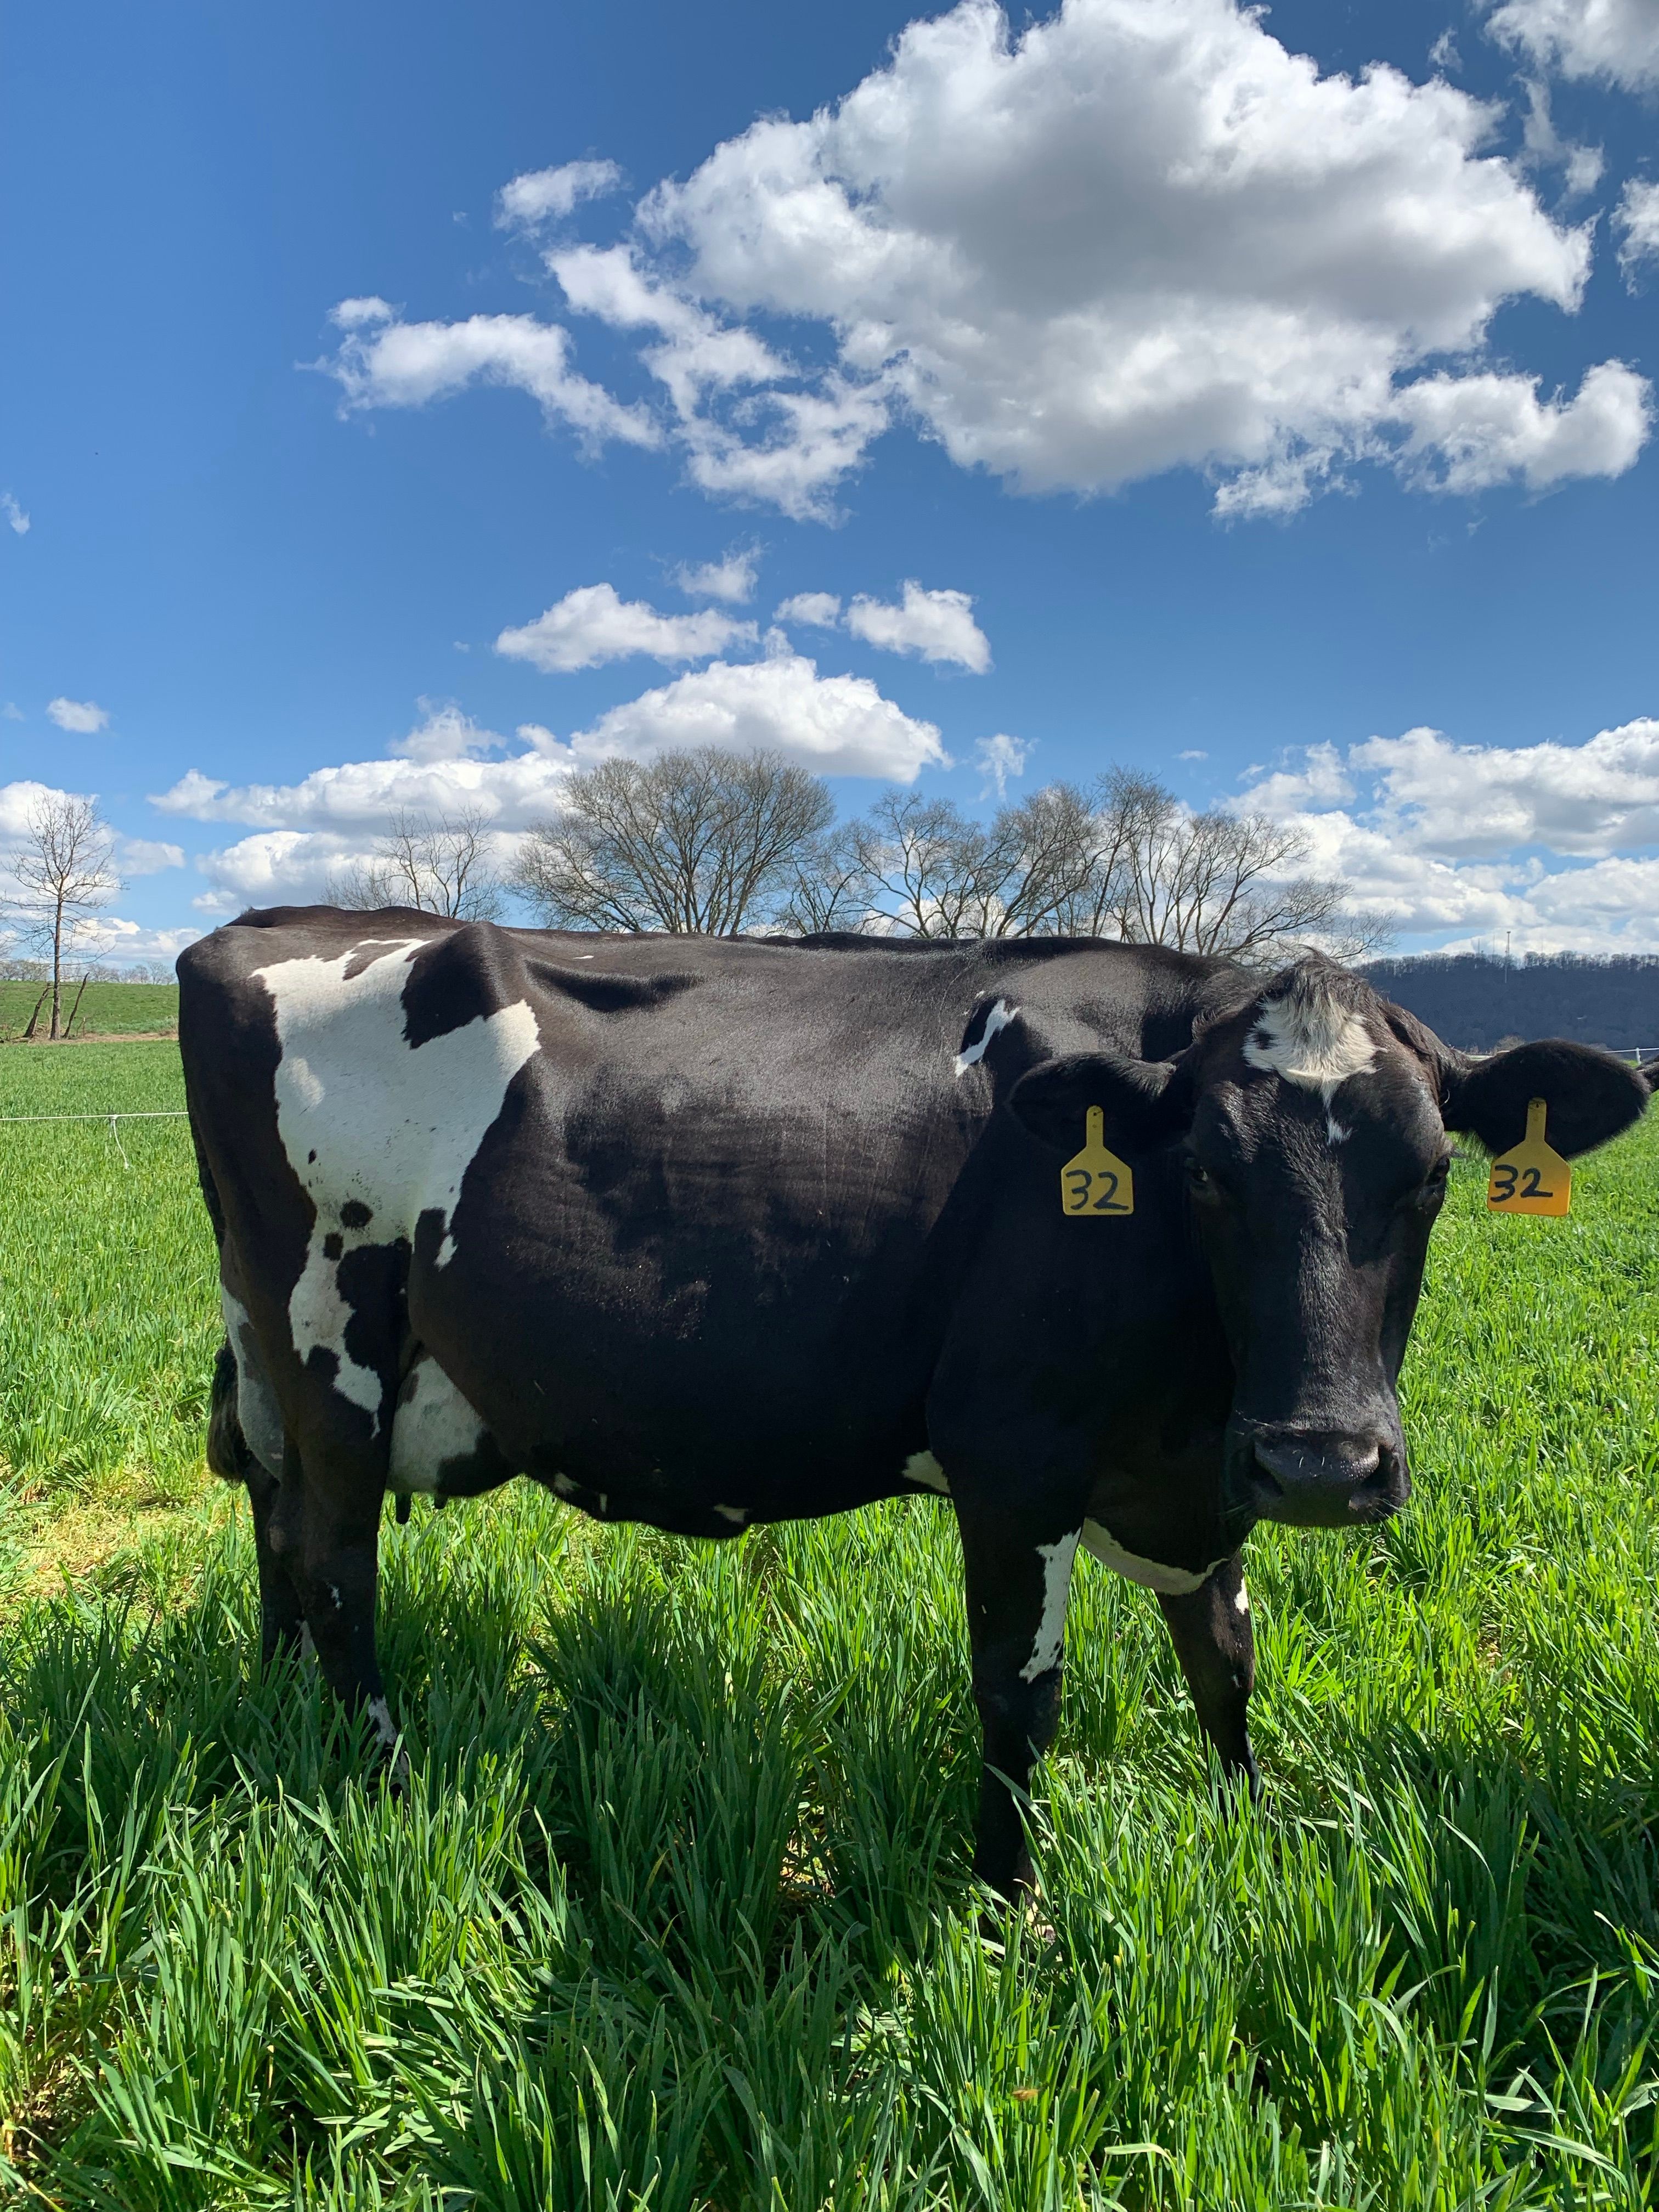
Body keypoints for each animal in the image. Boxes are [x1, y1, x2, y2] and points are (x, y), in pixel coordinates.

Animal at [179, 910, 1647, 1901]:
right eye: (1210, 1173)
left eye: (1431, 1175)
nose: (1325, 1466)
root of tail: (270, 926)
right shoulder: (1016, 1460)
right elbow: (1020, 1699)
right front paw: (1006, 1910)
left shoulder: (1205, 1475)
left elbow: (1225, 1661)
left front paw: (1249, 1839)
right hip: (331, 1338)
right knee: (335, 1568)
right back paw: (383, 1782)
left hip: (273, 1350)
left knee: (274, 1529)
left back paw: (280, 1723)